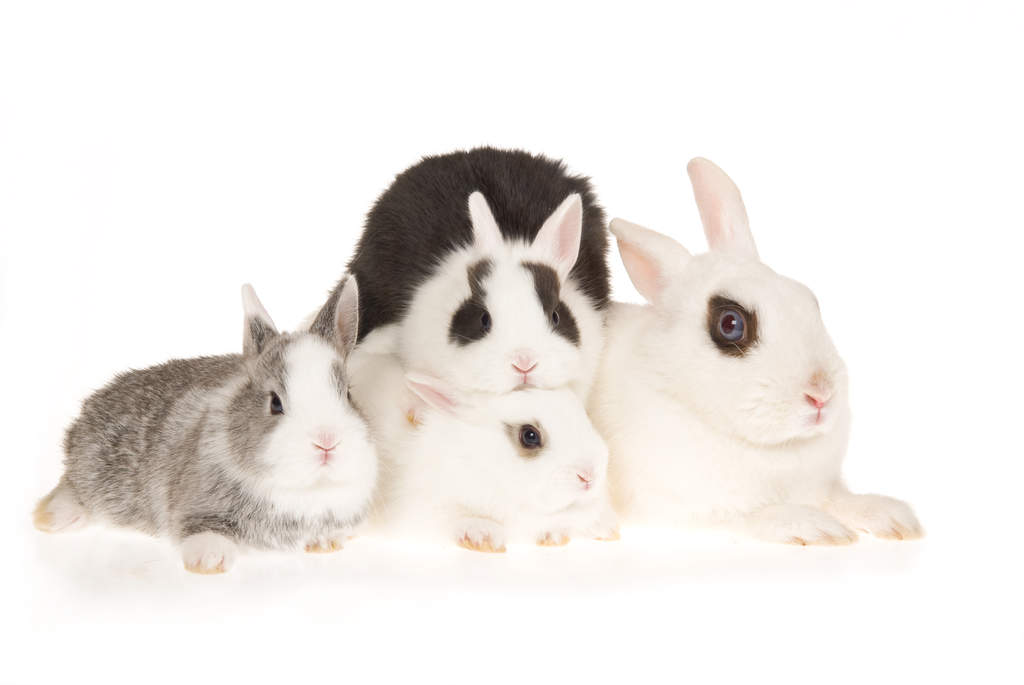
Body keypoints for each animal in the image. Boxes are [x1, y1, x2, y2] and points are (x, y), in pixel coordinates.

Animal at [33, 278, 379, 573]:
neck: (305, 491)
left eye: (348, 393)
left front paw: (325, 543)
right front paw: (209, 562)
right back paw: (49, 517)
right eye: (275, 403)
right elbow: (203, 533)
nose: (327, 442)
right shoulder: (197, 509)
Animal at [588, 158, 923, 545]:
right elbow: (754, 517)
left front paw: (892, 517)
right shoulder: (689, 510)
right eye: (730, 324)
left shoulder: (824, 487)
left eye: (809, 299)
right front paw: (815, 527)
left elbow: (842, 499)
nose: (821, 394)